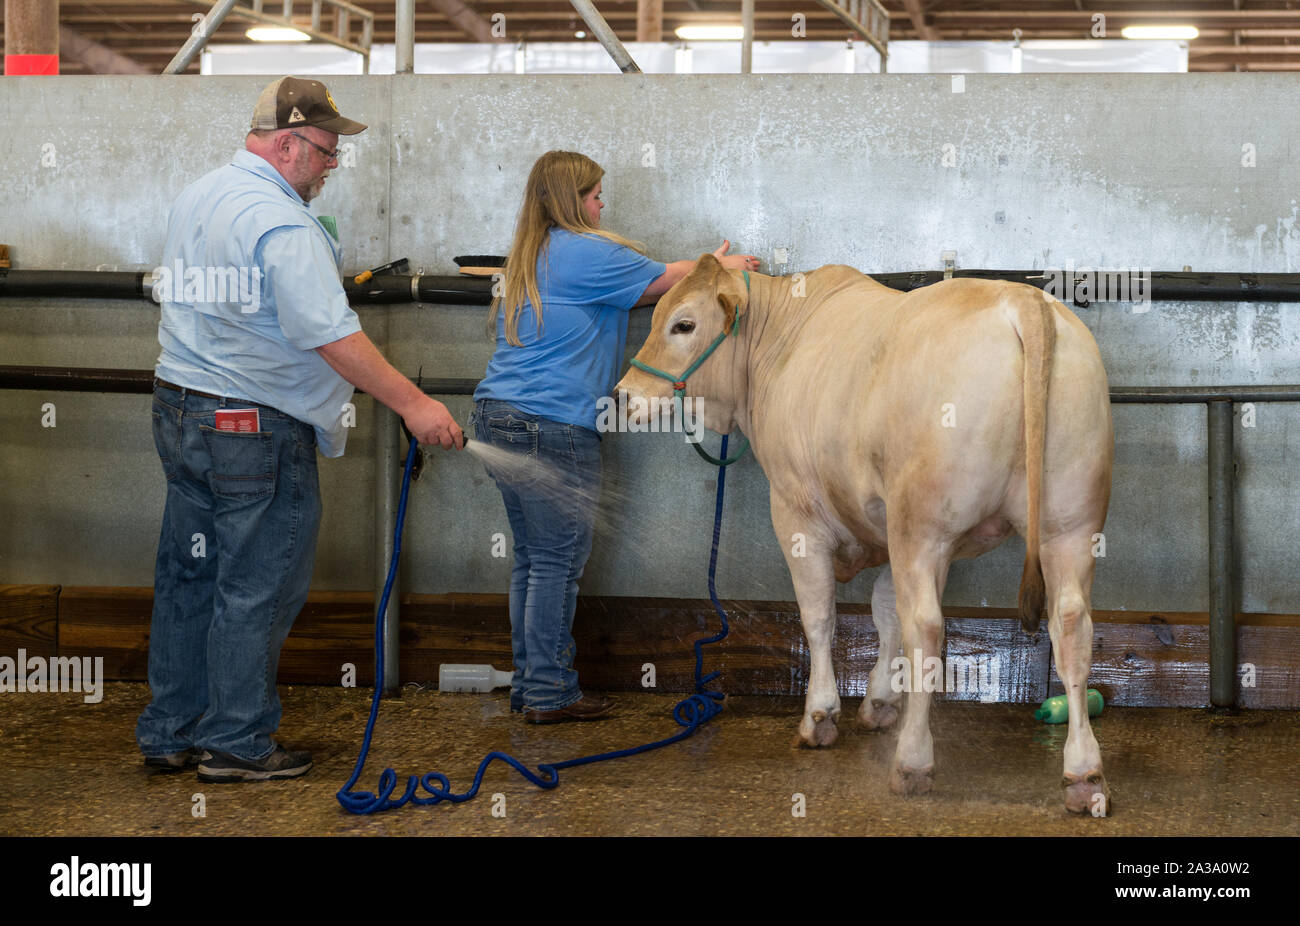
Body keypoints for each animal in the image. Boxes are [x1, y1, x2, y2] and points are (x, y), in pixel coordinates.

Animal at [615, 255, 1113, 814]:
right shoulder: (895, 529)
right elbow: (884, 607)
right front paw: (878, 700)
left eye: (683, 324)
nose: (623, 395)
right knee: (1071, 624)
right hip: (1068, 524)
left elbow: (820, 616)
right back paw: (1083, 772)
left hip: (923, 524)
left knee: (928, 627)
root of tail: (1022, 300)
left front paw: (820, 715)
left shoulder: (797, 513)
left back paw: (913, 761)